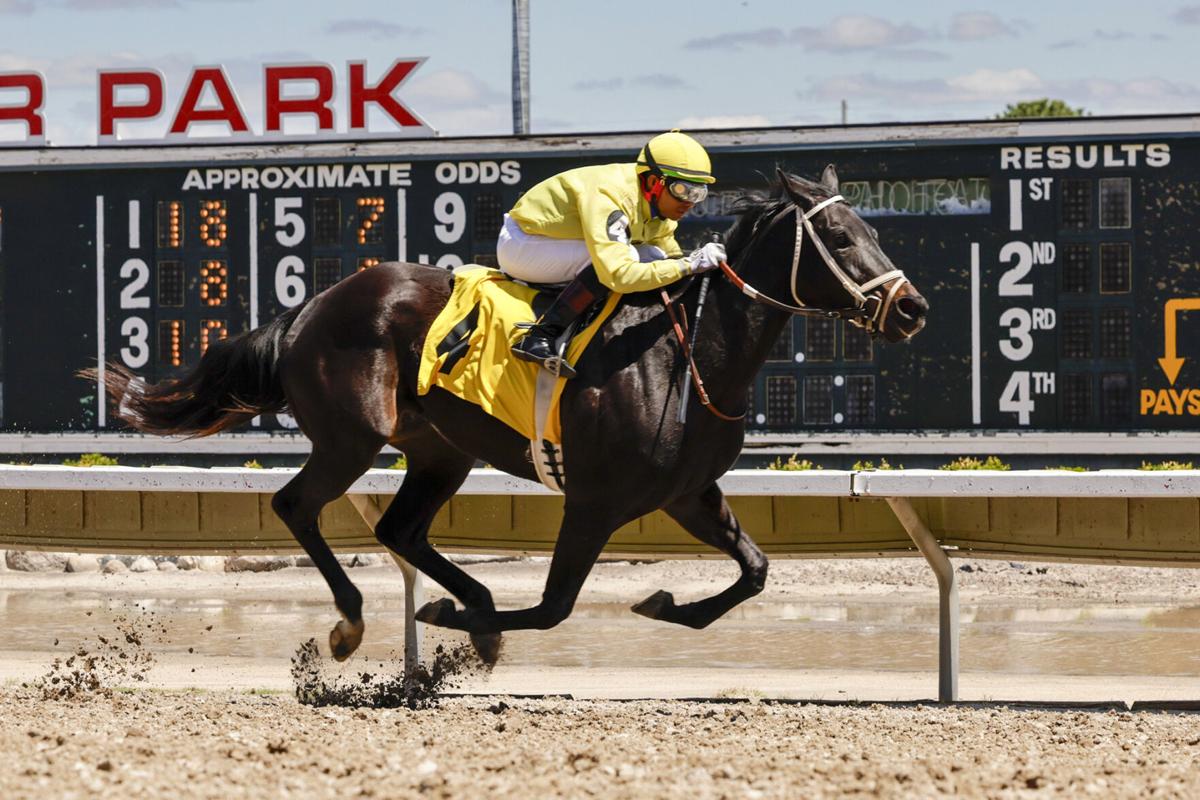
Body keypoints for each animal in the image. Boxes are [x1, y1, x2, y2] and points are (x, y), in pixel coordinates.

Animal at [91, 165, 928, 665]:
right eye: (840, 236)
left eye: (877, 229)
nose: (912, 309)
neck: (687, 354)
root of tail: (311, 305)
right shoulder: (594, 502)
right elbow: (555, 607)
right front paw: (454, 623)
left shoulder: (688, 494)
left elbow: (754, 571)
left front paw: (664, 603)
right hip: (351, 437)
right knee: (298, 505)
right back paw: (357, 620)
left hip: (439, 452)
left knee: (400, 530)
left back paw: (472, 604)